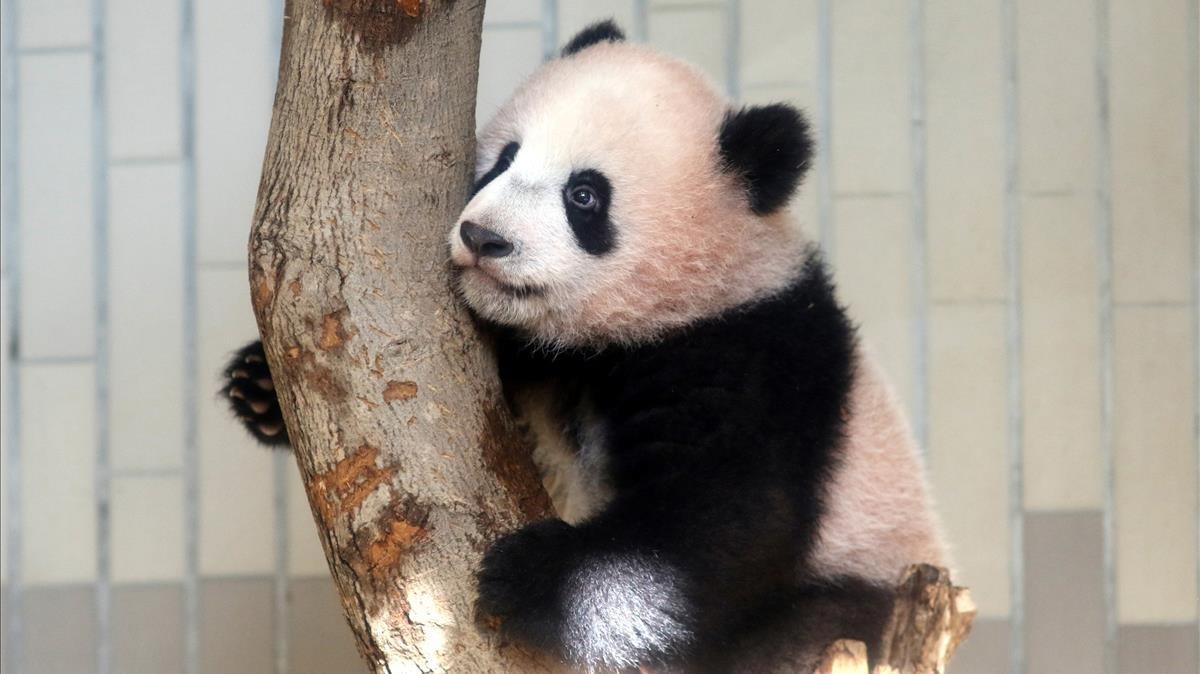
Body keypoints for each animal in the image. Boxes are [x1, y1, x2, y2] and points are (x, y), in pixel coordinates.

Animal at [224, 20, 947, 673]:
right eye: (505, 159)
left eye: (584, 195)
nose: (484, 238)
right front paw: (260, 389)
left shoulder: (751, 362)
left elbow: (715, 525)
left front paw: (536, 578)